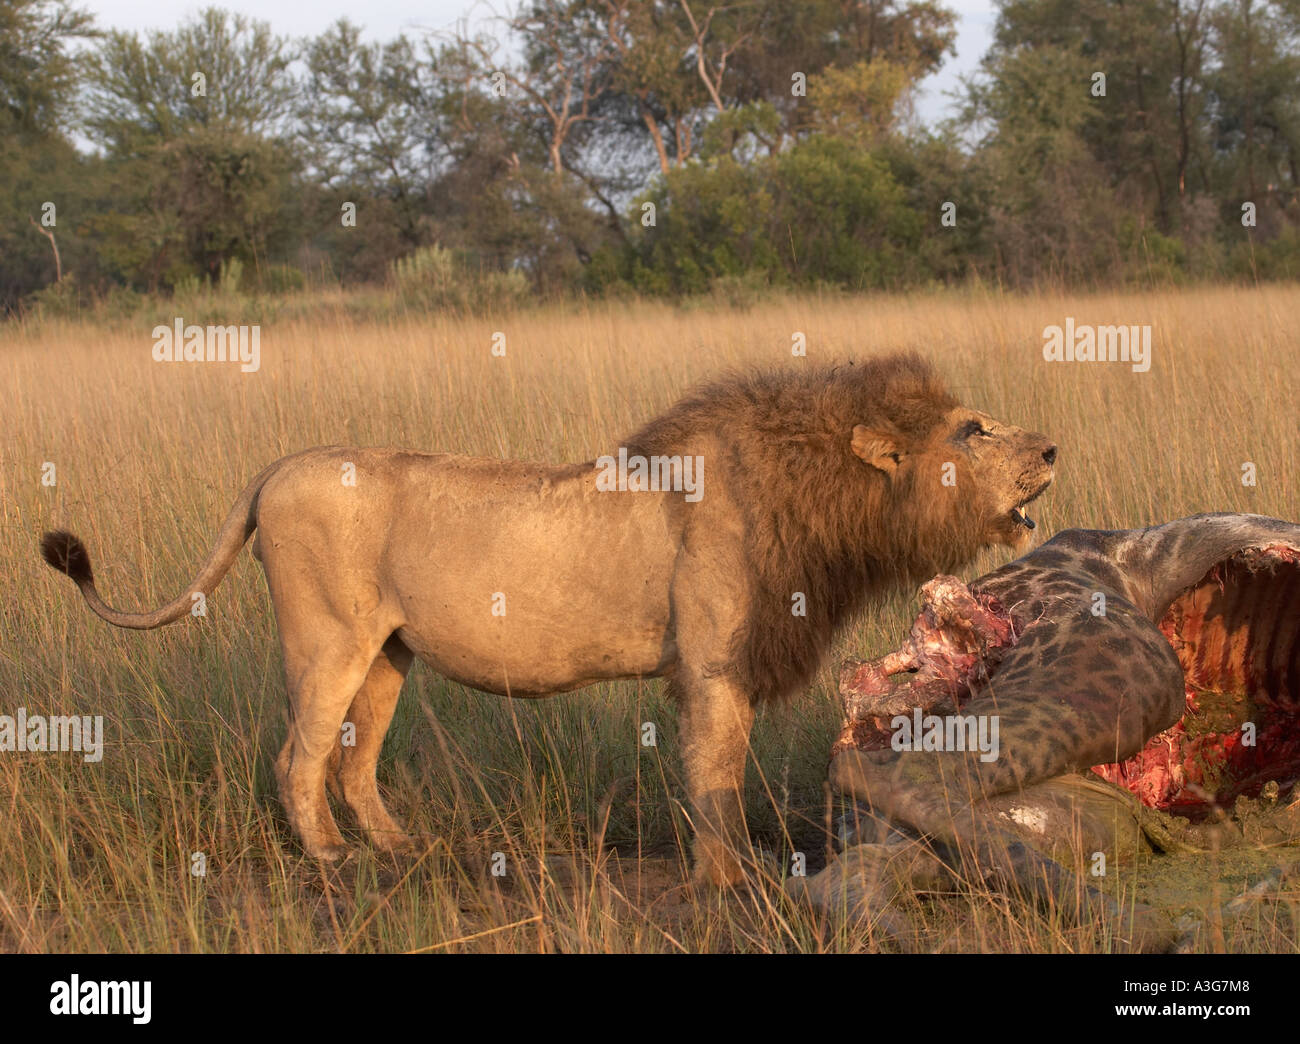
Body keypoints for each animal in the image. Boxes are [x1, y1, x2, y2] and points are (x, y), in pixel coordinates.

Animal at [39, 353, 1056, 886]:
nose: (1051, 448)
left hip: (388, 657)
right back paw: (330, 859)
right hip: (326, 642)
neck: (826, 493)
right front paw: (726, 880)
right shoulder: (712, 670)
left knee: (354, 762)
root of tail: (273, 470)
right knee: (298, 756)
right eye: (973, 430)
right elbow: (718, 780)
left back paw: (403, 849)